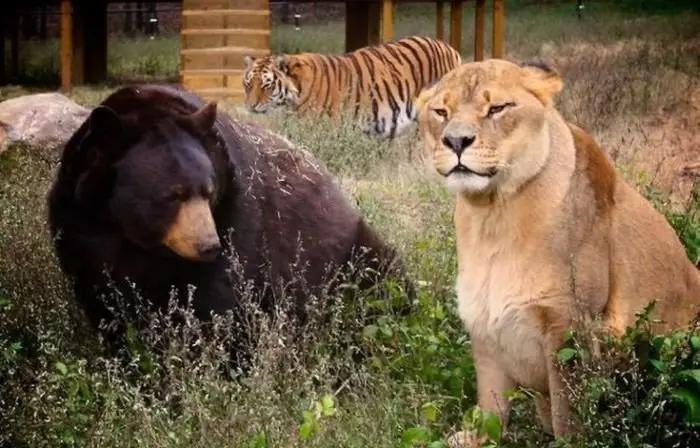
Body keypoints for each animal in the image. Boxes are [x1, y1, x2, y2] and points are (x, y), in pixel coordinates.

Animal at [49, 85, 412, 368]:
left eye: (208, 191)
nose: (208, 245)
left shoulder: (238, 216)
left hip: (351, 255)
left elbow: (218, 303)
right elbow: (103, 299)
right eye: (173, 195)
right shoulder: (79, 219)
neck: (137, 238)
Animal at [412, 58, 696, 444]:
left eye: (497, 108)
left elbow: (567, 414)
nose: (456, 140)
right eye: (441, 111)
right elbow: (491, 405)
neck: (491, 217)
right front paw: (473, 439)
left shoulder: (571, 326)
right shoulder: (482, 321)